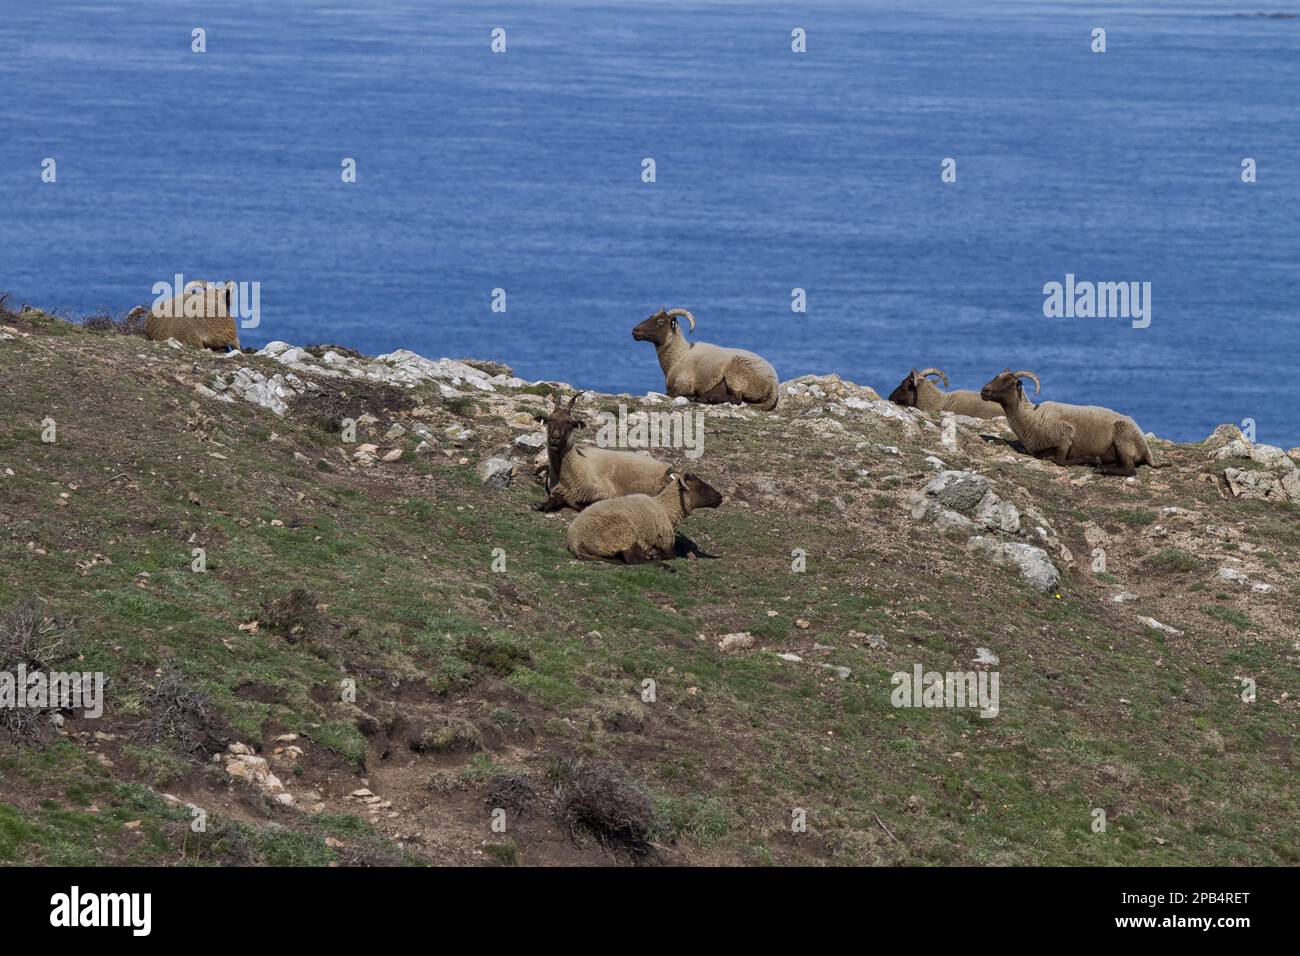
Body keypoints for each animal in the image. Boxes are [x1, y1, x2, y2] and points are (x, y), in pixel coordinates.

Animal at [531, 392, 675, 512]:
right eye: (550, 419)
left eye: (570, 423)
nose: (554, 438)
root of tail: (668, 469)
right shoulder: (560, 491)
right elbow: (553, 501)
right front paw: (540, 505)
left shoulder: (604, 493)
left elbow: (583, 504)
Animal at [566, 471, 724, 563]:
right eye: (700, 487)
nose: (720, 497)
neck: (665, 508)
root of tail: (575, 540)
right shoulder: (665, 543)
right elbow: (670, 555)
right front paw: (655, 553)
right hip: (623, 534)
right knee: (630, 558)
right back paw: (651, 556)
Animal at [632, 308, 779, 411]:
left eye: (660, 321)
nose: (635, 331)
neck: (679, 355)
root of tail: (773, 384)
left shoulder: (684, 385)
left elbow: (670, 393)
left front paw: (693, 396)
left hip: (736, 373)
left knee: (737, 399)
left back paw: (705, 398)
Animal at [979, 369, 1164, 476]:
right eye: (996, 376)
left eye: (1008, 382)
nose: (984, 391)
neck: (1030, 417)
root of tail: (1146, 447)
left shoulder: (1065, 435)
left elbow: (1060, 461)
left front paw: (1090, 459)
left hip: (1123, 436)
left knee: (1130, 469)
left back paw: (1101, 468)